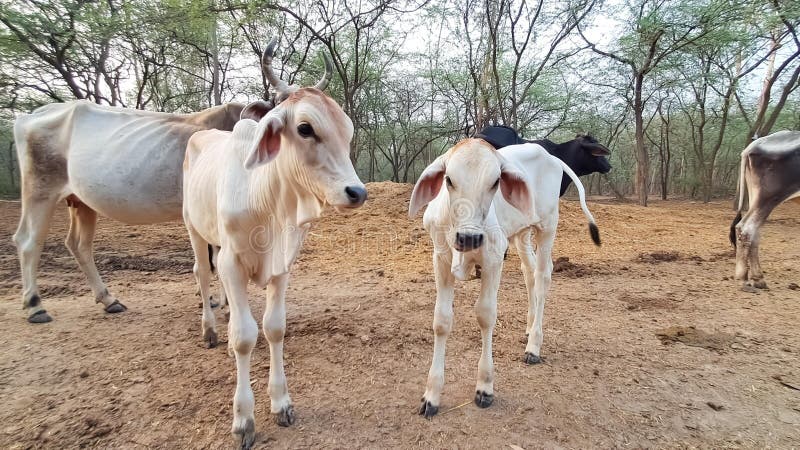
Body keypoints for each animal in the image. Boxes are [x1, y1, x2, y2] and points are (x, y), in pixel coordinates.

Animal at [182, 38, 366, 448]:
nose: (357, 192)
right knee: (202, 274)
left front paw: (281, 403)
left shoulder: (284, 265)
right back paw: (210, 330)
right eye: (305, 128)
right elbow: (244, 338)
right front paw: (243, 419)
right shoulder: (232, 261)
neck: (267, 200)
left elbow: (274, 328)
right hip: (193, 228)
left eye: (346, 130)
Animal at [408, 138, 600, 418]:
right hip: (522, 233)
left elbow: (486, 316)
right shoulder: (441, 258)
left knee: (543, 276)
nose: (469, 238)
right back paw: (529, 328)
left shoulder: (493, 258)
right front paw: (431, 396)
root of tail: (550, 156)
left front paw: (484, 386)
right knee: (528, 272)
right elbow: (441, 321)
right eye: (449, 179)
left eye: (495, 182)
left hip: (547, 227)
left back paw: (534, 345)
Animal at [730, 130, 800, 289]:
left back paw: (757, 278)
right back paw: (743, 278)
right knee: (747, 228)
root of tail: (754, 144)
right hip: (768, 197)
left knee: (753, 232)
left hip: (755, 196)